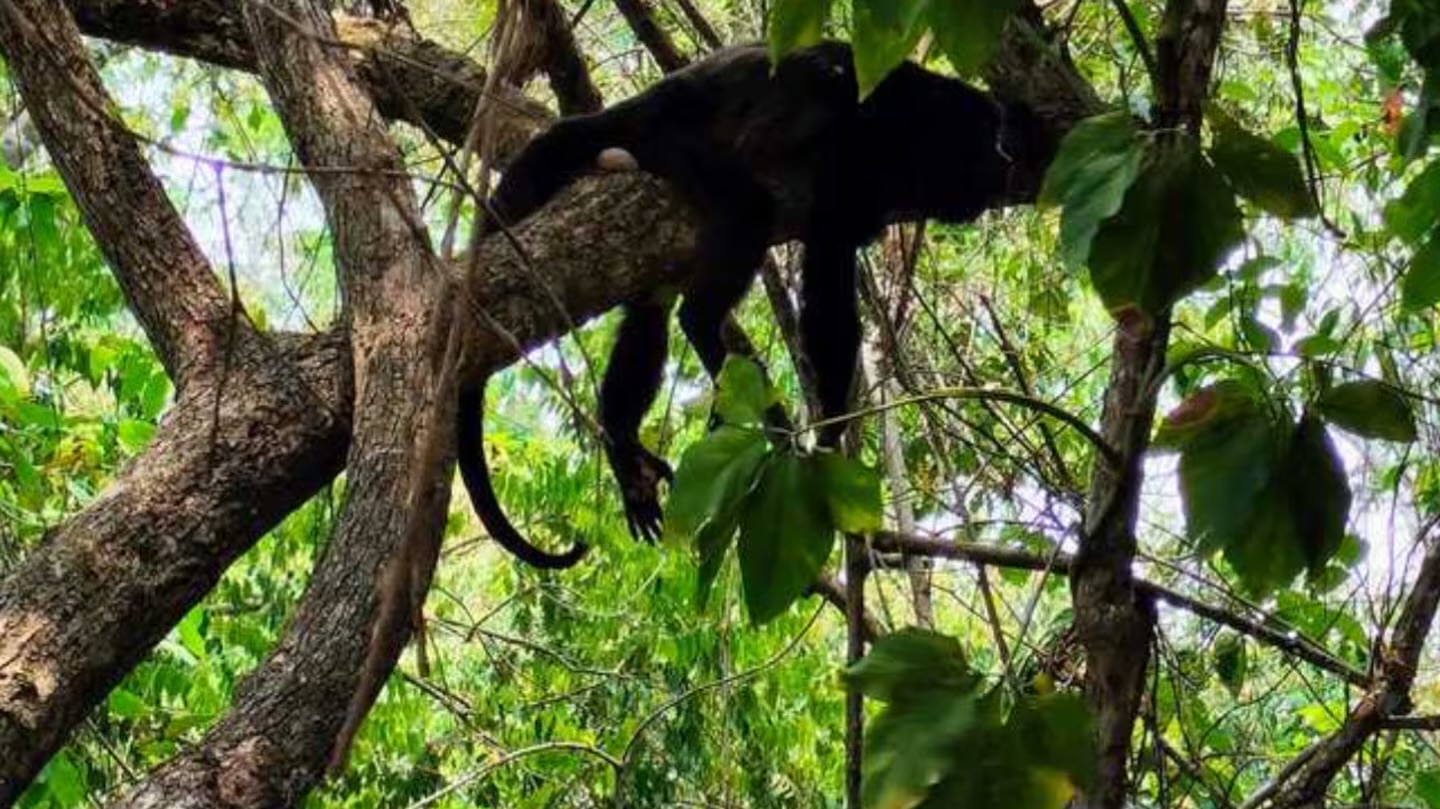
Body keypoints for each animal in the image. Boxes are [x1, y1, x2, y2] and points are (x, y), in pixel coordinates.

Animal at [459, 40, 1054, 567]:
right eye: (988, 154)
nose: (989, 191)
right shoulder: (847, 143)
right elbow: (821, 282)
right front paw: (826, 435)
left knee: (650, 314)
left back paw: (624, 446)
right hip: (671, 143)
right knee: (744, 215)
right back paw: (712, 341)